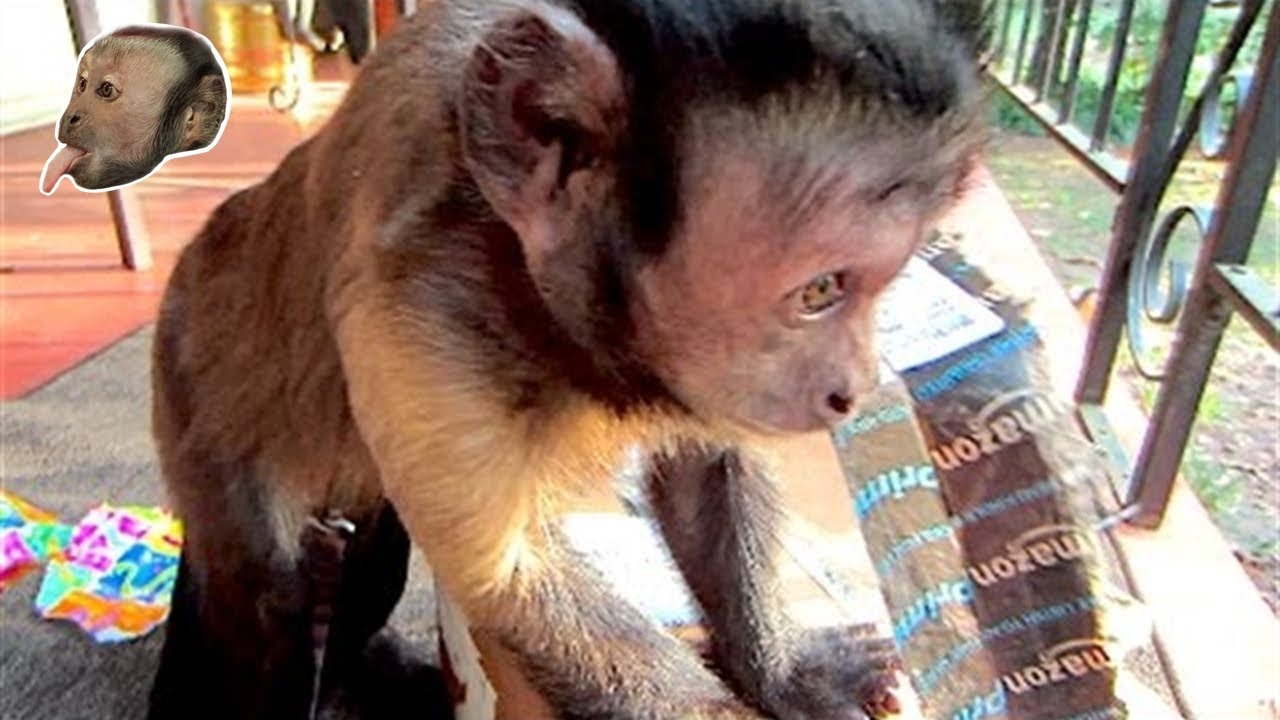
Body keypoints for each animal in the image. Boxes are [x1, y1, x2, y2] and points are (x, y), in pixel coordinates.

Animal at [146, 0, 990, 718]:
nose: (854, 388)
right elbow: (507, 577)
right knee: (273, 604)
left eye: (883, 286)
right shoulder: (420, 290)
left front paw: (782, 673)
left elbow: (707, 462)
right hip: (192, 398)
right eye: (820, 292)